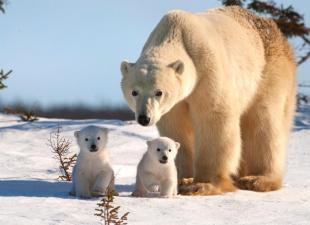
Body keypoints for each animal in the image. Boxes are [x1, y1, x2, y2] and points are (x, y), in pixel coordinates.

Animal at [120, 6, 294, 194]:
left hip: (268, 71)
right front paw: (182, 178)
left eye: (159, 92)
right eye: (134, 92)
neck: (175, 33)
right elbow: (176, 128)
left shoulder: (207, 69)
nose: (144, 118)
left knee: (263, 122)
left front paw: (203, 184)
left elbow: (213, 117)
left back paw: (257, 179)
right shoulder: (174, 104)